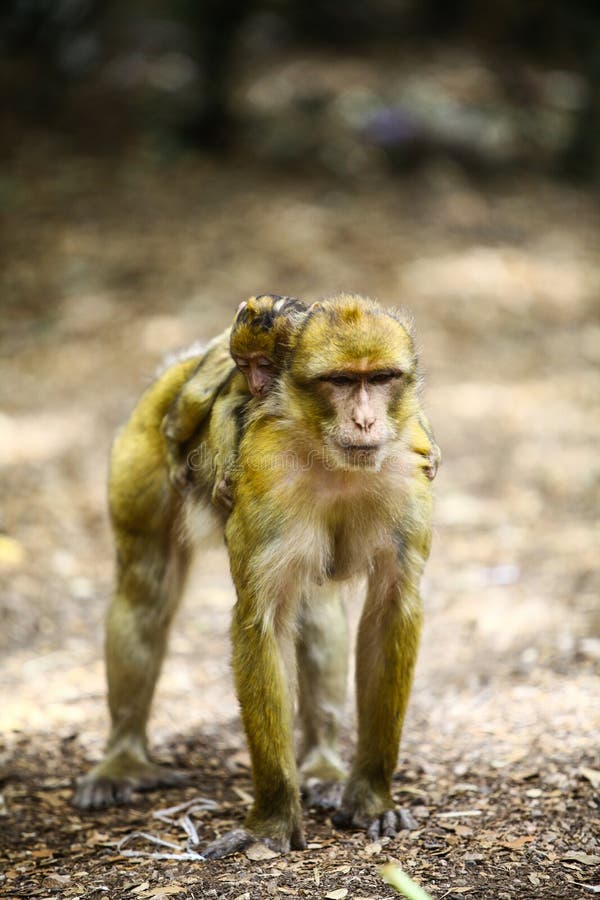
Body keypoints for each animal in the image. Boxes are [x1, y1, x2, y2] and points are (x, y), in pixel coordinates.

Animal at [74, 294, 436, 857]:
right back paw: (123, 758)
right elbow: (260, 622)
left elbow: (390, 612)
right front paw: (272, 817)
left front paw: (371, 796)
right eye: (339, 381)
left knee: (319, 612)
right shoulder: (266, 475)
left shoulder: (407, 470)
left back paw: (322, 765)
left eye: (379, 378)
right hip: (141, 446)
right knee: (144, 595)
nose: (363, 420)